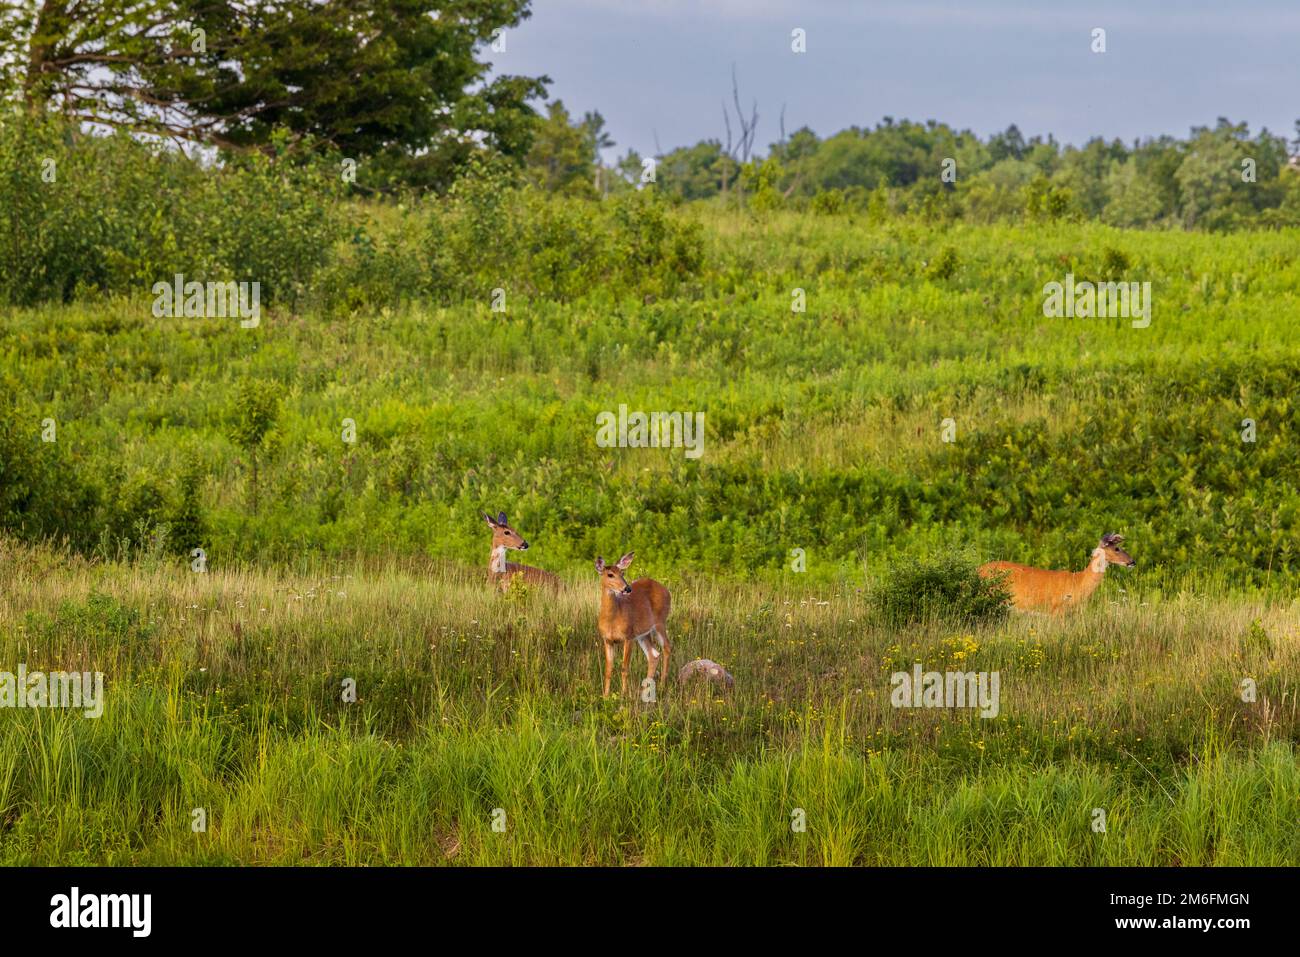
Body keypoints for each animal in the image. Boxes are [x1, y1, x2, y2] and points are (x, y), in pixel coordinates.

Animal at [594, 552, 672, 698]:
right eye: (610, 574)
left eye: (622, 573)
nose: (627, 588)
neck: (612, 620)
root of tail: (666, 590)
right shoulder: (607, 640)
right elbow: (608, 669)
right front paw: (605, 696)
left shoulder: (628, 636)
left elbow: (625, 668)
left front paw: (623, 695)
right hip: (643, 633)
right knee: (654, 655)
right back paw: (645, 689)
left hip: (660, 622)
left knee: (667, 647)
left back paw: (662, 686)